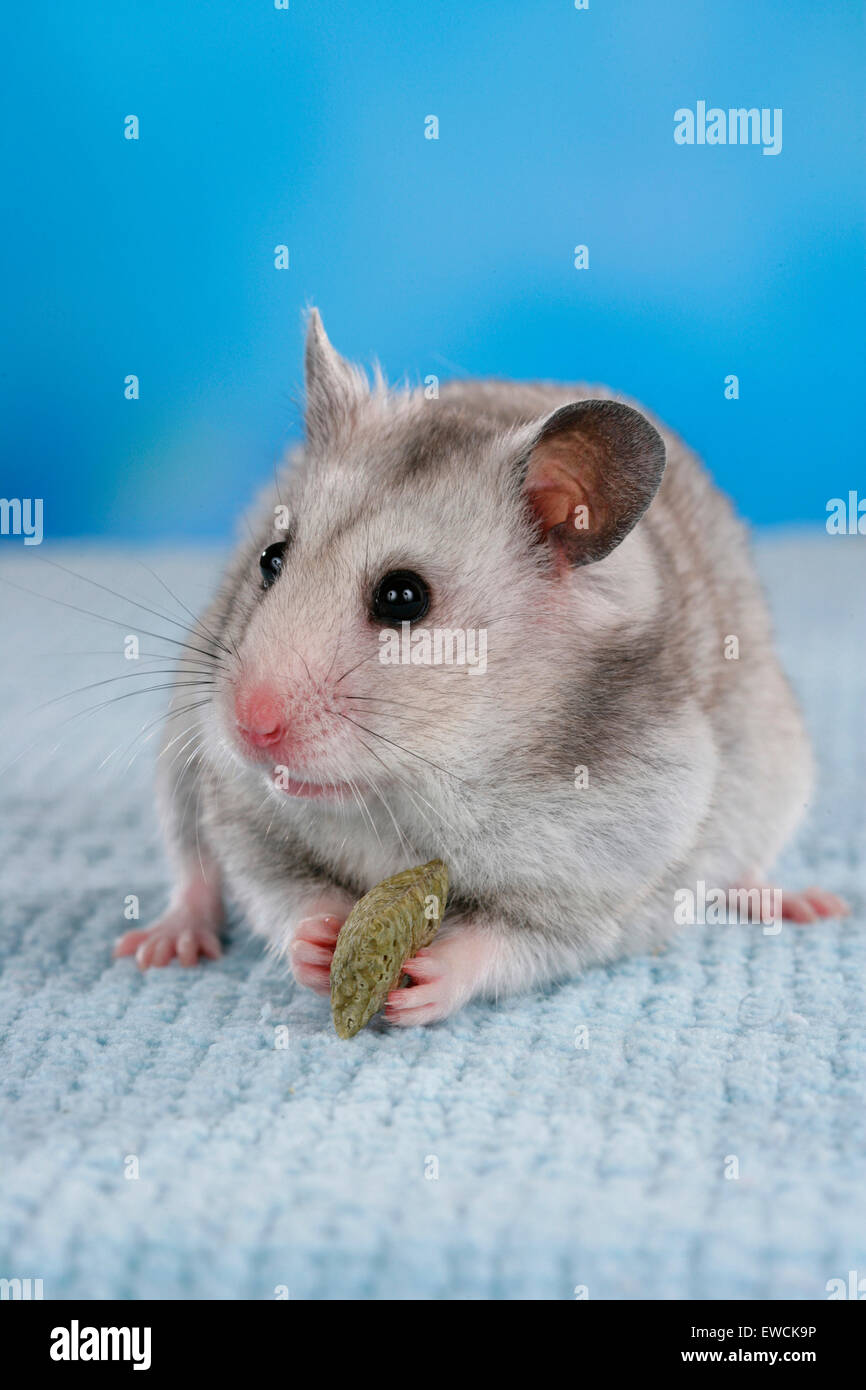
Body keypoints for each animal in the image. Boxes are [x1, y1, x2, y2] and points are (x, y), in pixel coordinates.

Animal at [114, 309, 848, 1023]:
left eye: (403, 597)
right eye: (270, 560)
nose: (248, 729)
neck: (420, 785)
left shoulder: (606, 887)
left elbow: (513, 941)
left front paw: (424, 983)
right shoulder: (242, 813)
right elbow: (278, 889)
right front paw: (322, 942)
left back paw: (802, 904)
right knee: (193, 870)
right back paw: (162, 944)